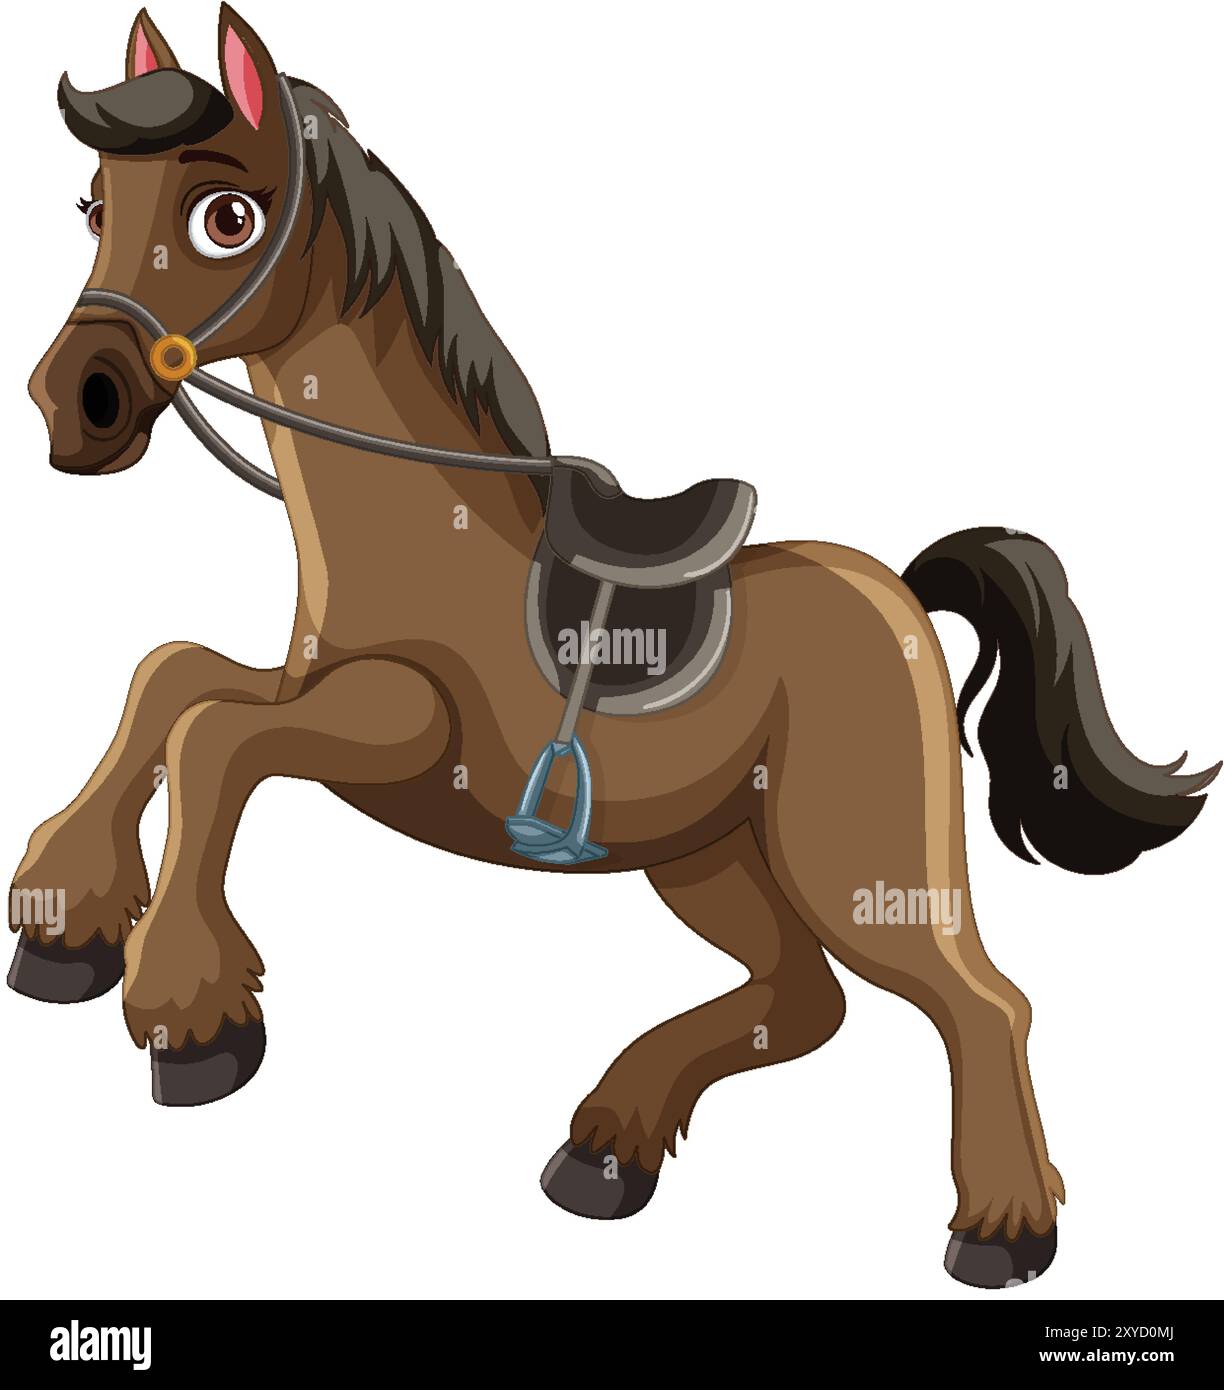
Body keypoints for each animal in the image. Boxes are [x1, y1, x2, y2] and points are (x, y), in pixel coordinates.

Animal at [12, 6, 1216, 1289]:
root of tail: (896, 592)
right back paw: (607, 1145)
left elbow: (215, 735)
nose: (77, 401)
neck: (420, 531)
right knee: (801, 998)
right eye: (93, 205)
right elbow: (171, 676)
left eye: (225, 216)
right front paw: (64, 916)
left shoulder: (402, 729)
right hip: (708, 857)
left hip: (854, 858)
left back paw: (1002, 1227)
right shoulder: (313, 686)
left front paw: (190, 1012)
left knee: (981, 1001)